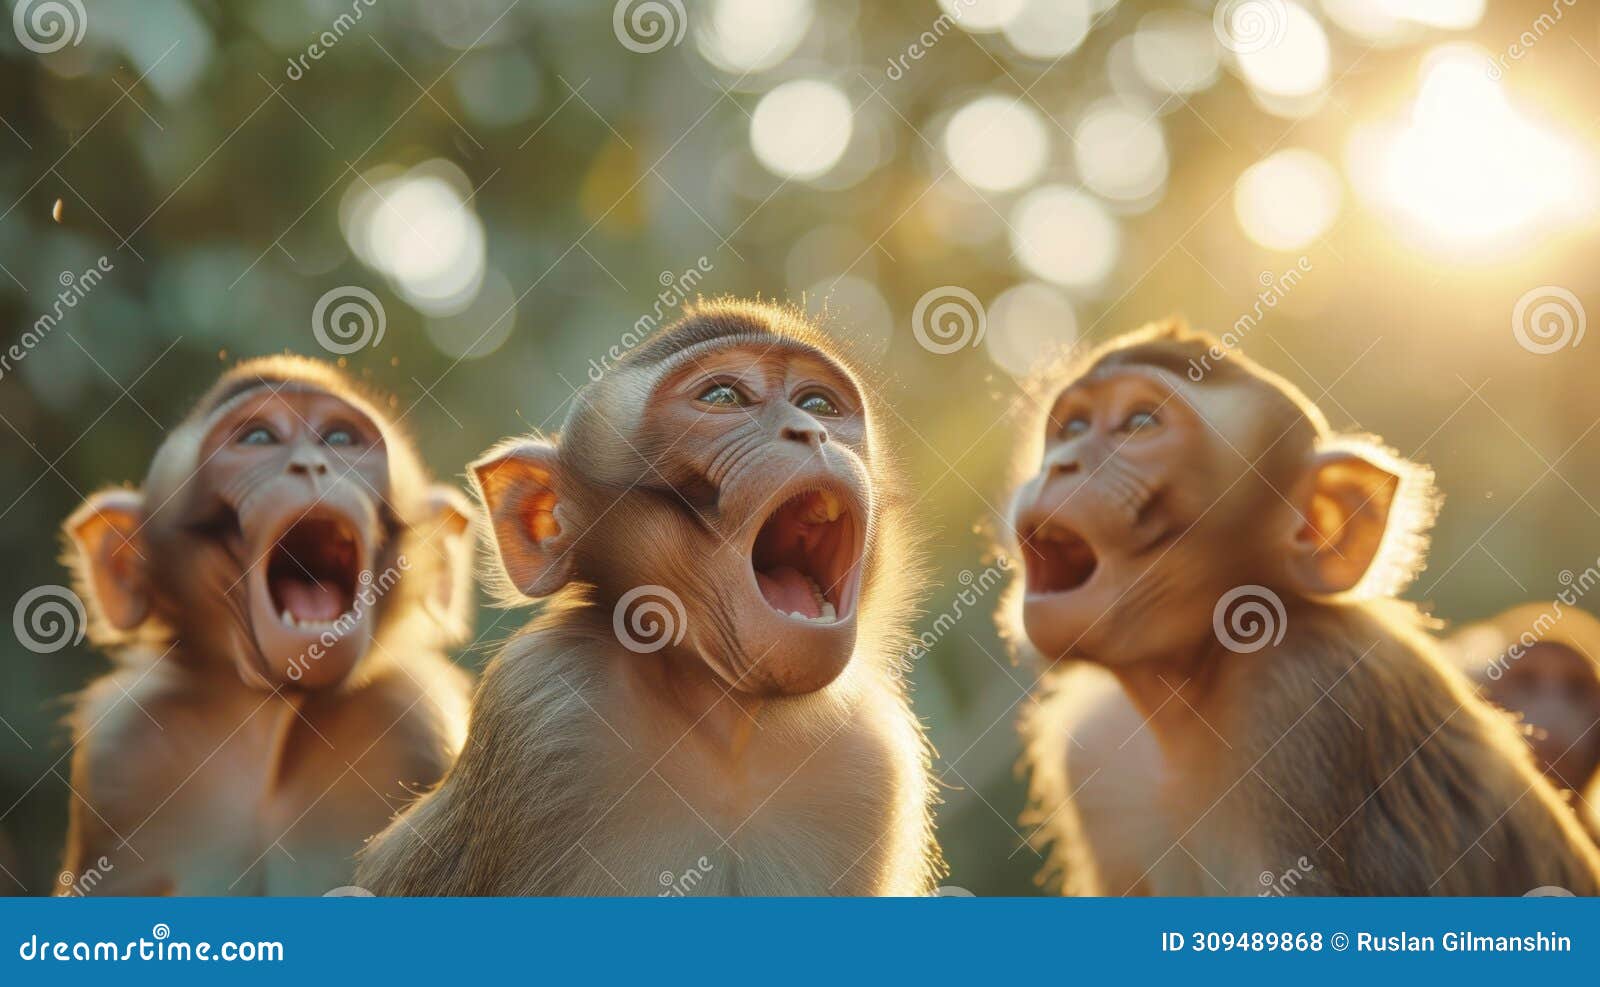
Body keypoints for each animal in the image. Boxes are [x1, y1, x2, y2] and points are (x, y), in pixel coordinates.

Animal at [59, 356, 474, 895]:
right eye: (258, 439)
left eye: (339, 439)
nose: (311, 466)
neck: (270, 716)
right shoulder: (123, 754)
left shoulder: (415, 726)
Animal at [356, 300, 942, 896]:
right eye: (724, 398)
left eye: (818, 403)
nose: (809, 431)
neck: (730, 731)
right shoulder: (547, 711)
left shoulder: (872, 755)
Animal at [1006, 319, 1600, 895]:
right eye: (1073, 429)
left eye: (1139, 423)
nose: (1061, 465)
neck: (1191, 692)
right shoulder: (1093, 749)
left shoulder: (1306, 698)